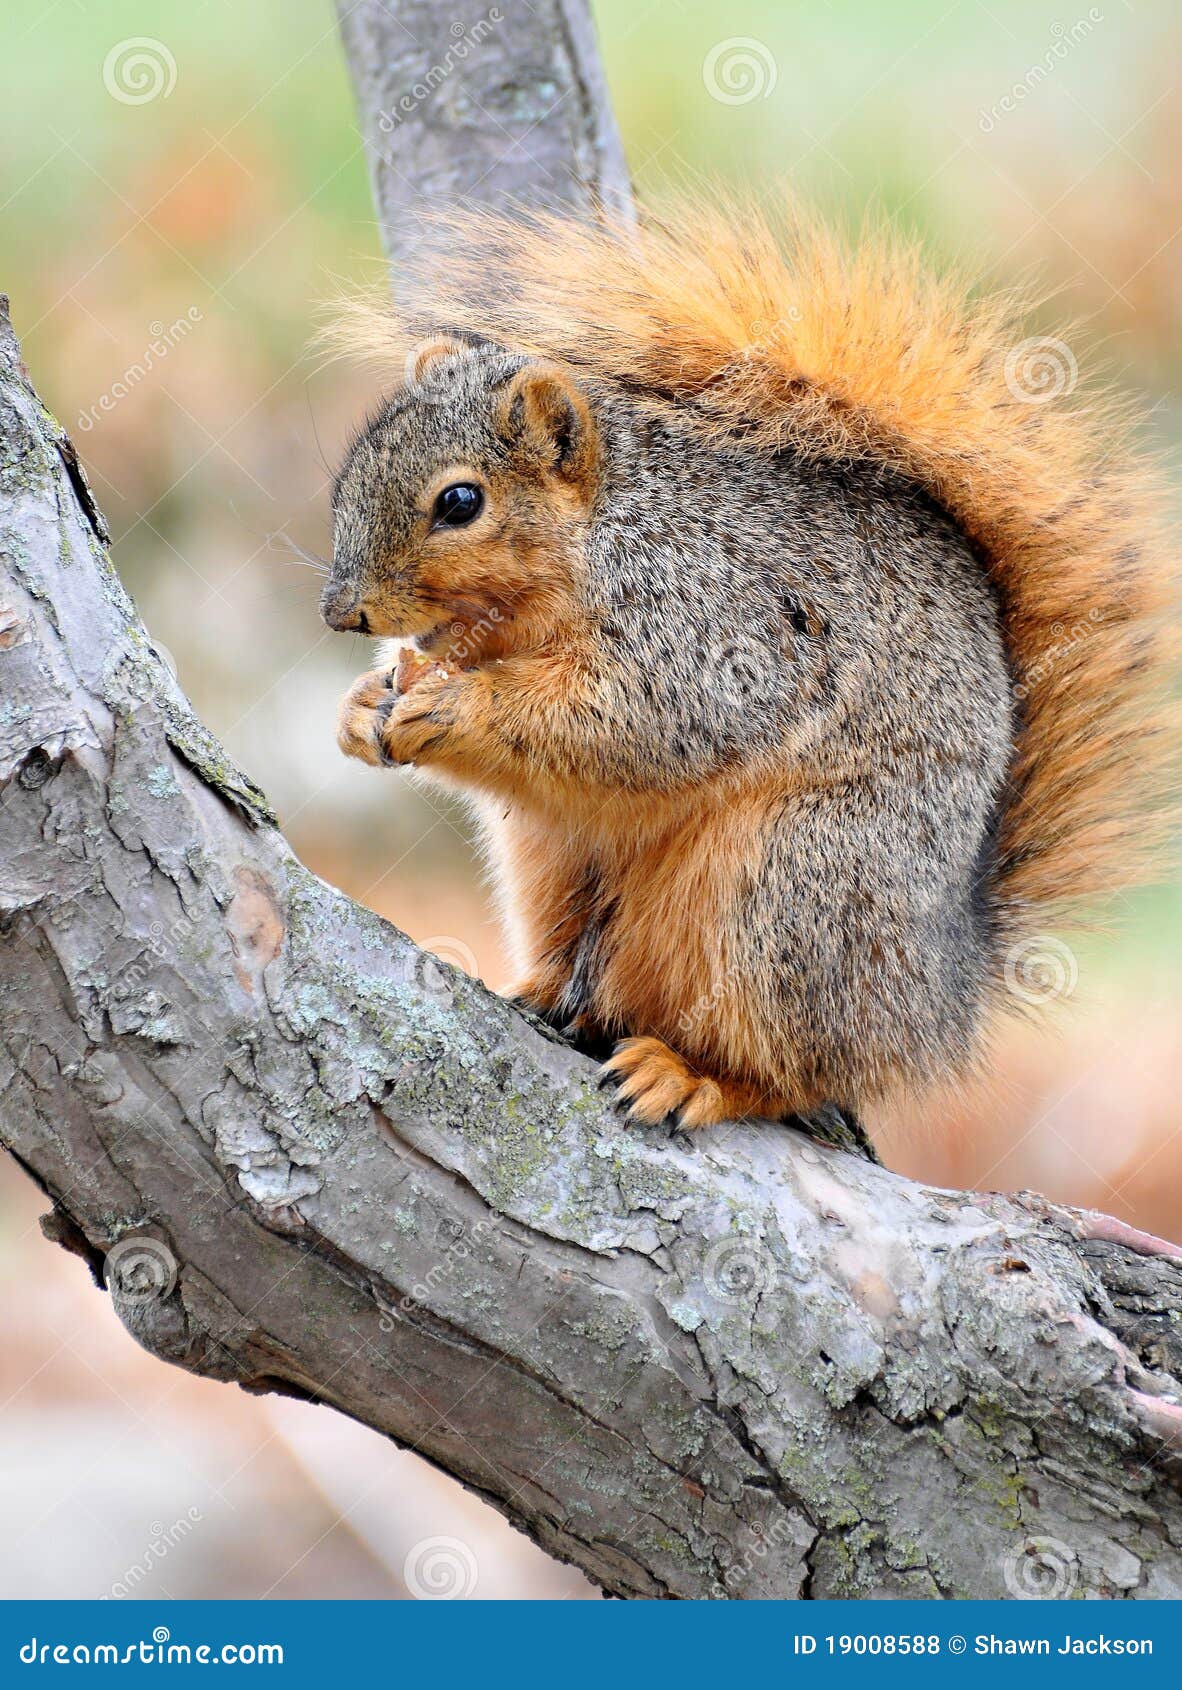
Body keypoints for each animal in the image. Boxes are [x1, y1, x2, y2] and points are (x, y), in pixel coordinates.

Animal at [321, 201, 1176, 1132]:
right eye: (350, 470)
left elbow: (631, 721)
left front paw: (452, 709)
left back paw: (692, 1077)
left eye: (460, 502)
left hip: (795, 890)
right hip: (551, 866)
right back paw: (544, 991)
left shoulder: (714, 631)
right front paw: (364, 705)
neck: (603, 535)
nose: (342, 613)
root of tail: (940, 994)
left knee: (793, 1067)